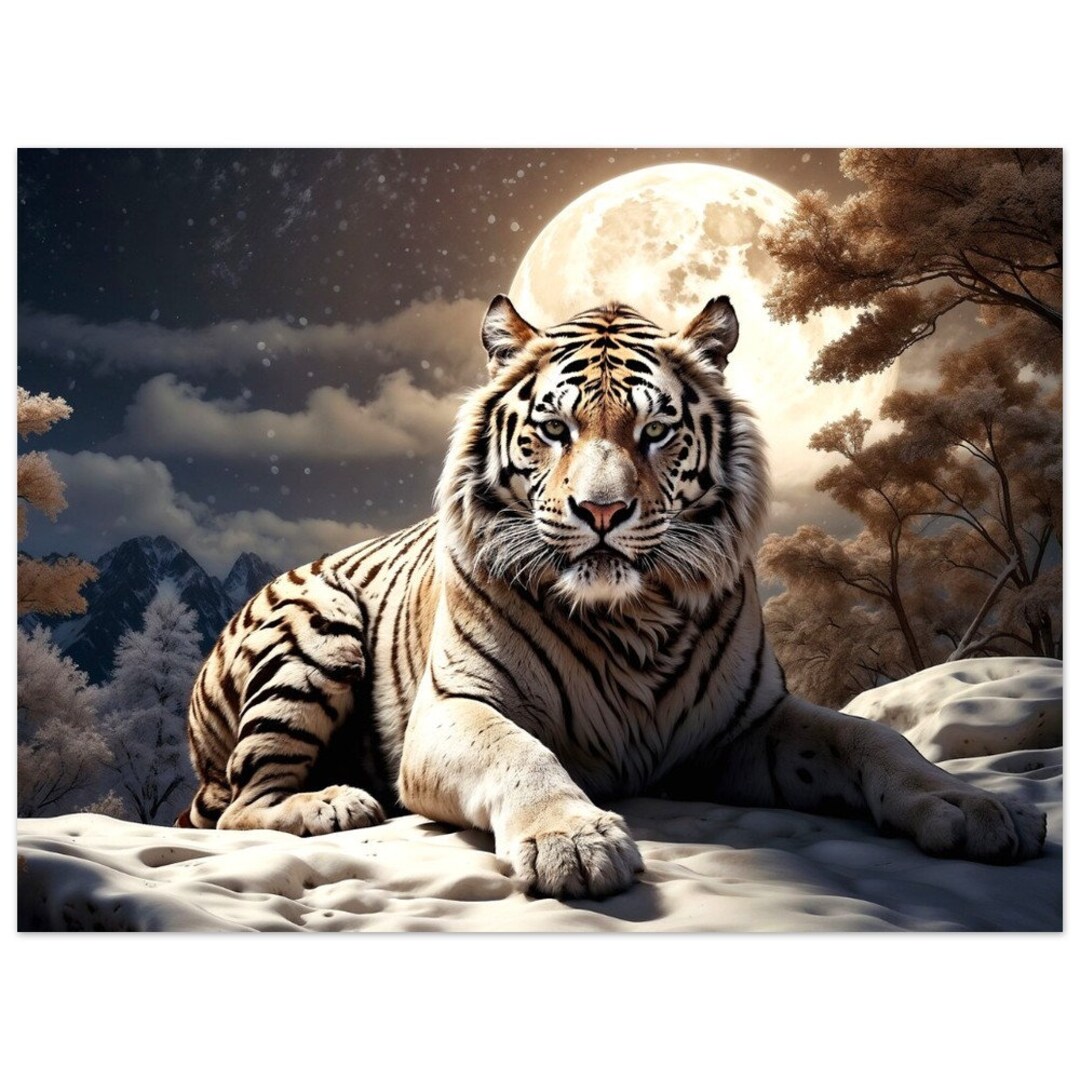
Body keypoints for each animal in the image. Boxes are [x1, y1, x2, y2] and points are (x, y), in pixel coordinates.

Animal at [180, 294, 1047, 899]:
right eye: (554, 431)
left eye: (655, 432)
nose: (602, 511)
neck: (634, 618)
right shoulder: (454, 709)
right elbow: (523, 753)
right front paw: (574, 842)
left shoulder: (743, 727)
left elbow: (873, 739)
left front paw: (979, 809)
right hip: (318, 629)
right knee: (239, 802)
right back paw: (335, 804)